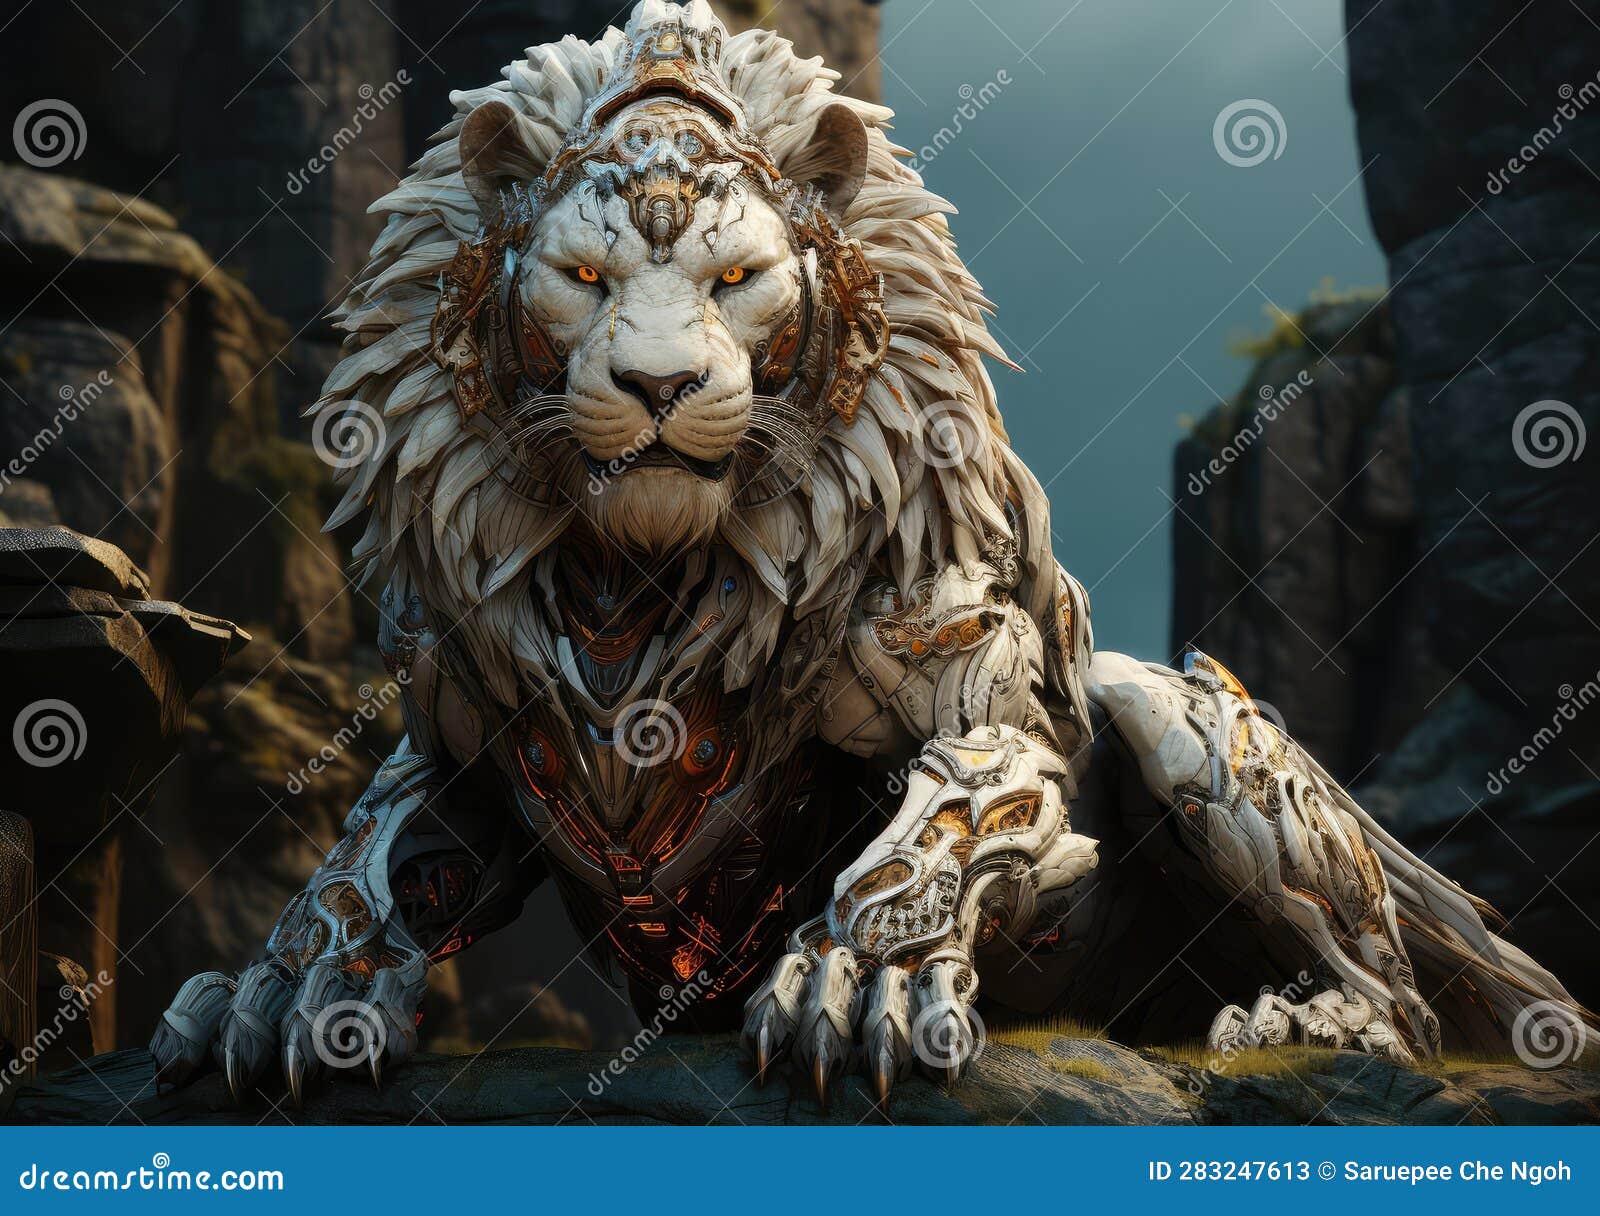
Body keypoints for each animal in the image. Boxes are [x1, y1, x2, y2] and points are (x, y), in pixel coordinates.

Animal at [153, 1, 1589, 1110]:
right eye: (580, 275)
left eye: (738, 278)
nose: (661, 387)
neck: (637, 586)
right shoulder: (461, 746)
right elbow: (362, 855)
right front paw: (283, 989)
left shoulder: (984, 713)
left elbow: (936, 823)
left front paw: (861, 980)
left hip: (1187, 727)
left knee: (1399, 1003)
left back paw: (1284, 1024)